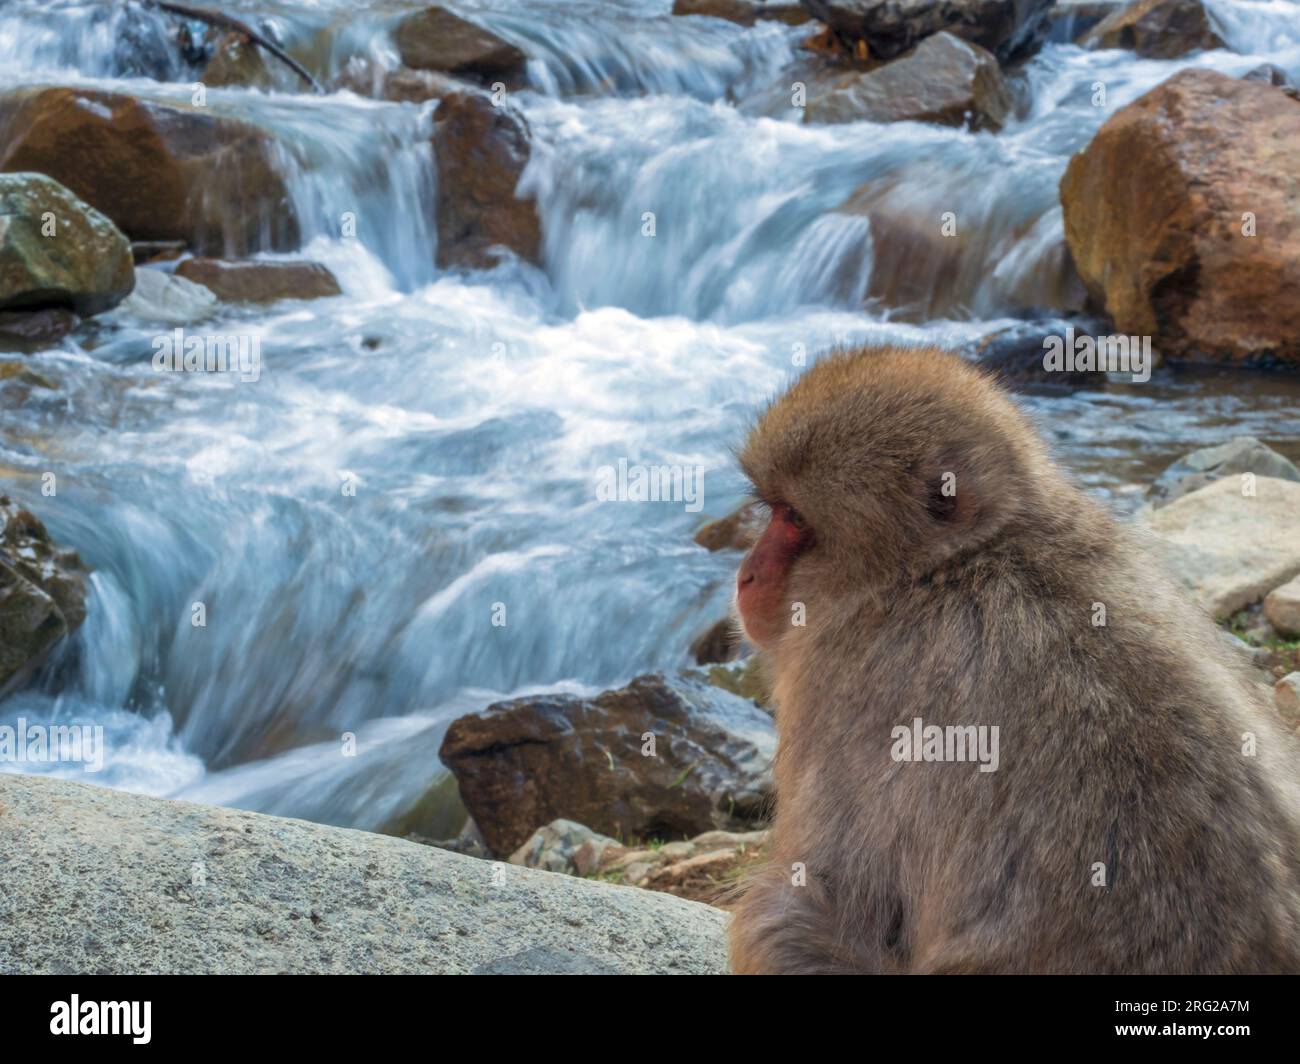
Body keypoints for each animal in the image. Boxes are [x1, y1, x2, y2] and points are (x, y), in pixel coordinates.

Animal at [727, 345, 1300, 974]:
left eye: (794, 517)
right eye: (772, 509)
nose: (746, 575)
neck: (954, 565)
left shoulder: (839, 684)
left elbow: (835, 898)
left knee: (777, 919)